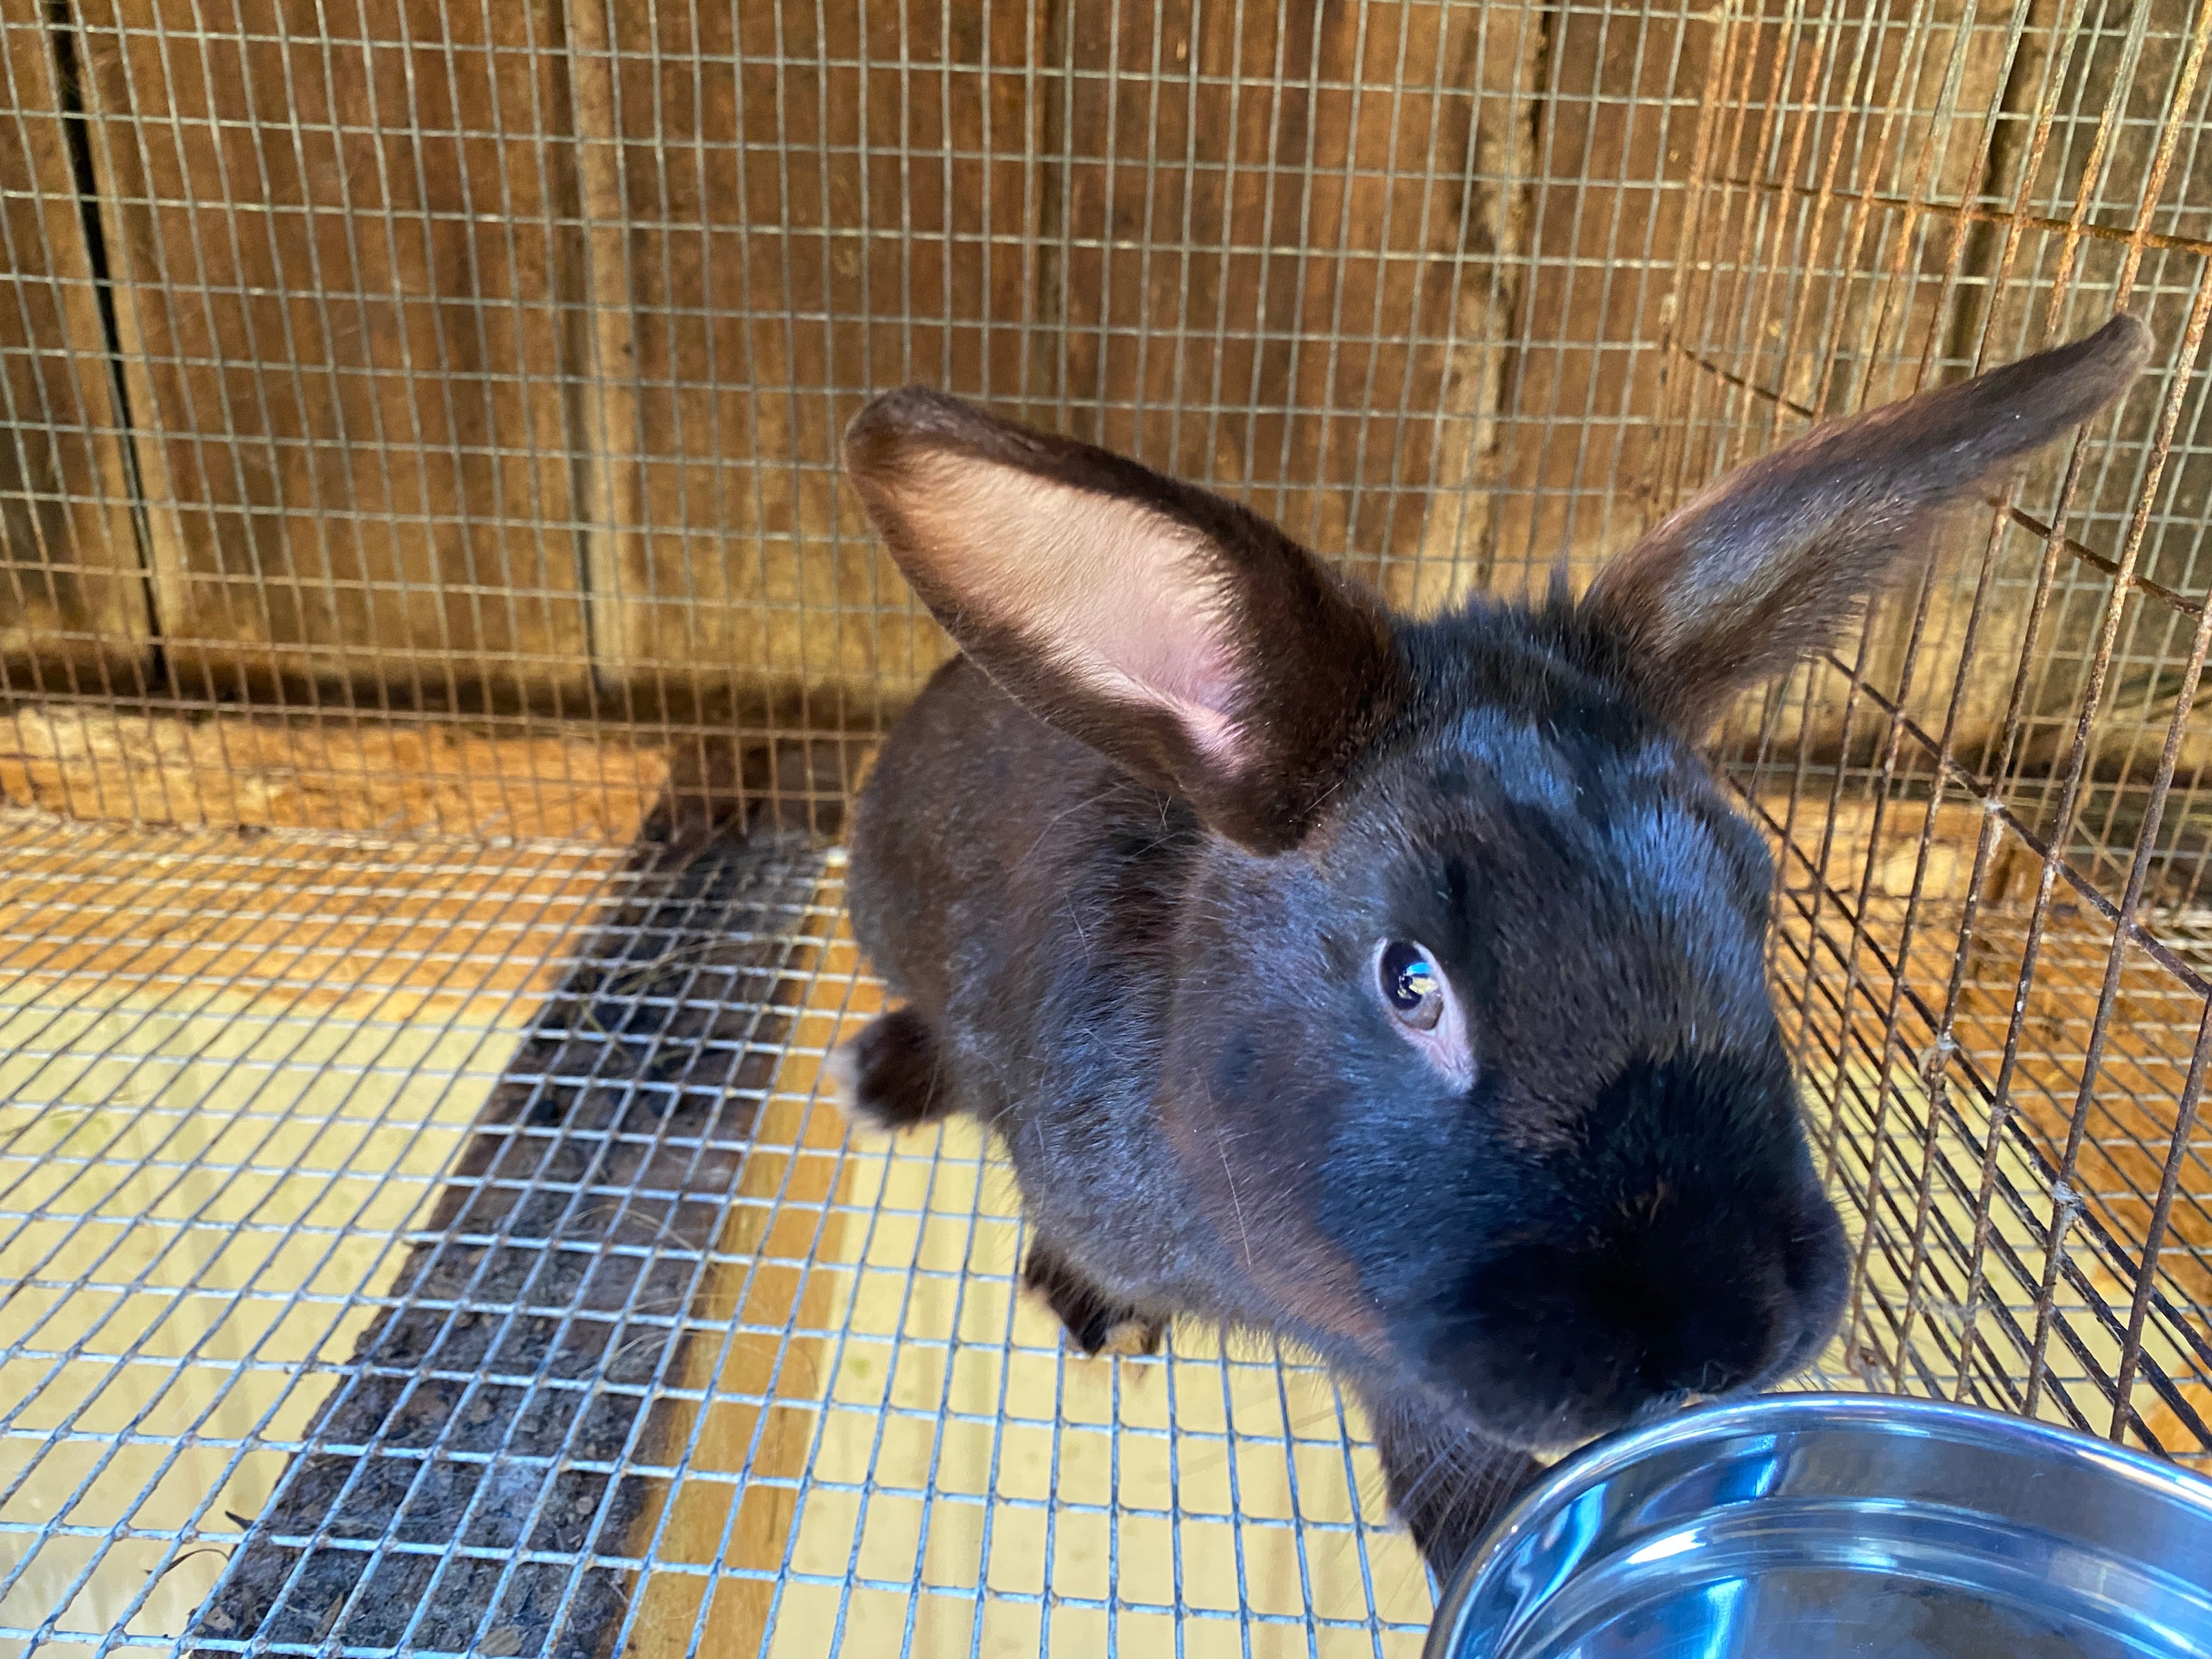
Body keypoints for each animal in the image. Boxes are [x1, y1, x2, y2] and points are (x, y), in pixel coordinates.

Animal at [828, 313, 2151, 1579]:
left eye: (1755, 894)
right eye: (1410, 981)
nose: (1705, 1342)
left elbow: (1430, 1423)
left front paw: (1484, 1529)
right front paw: (1090, 1308)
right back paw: (880, 1077)